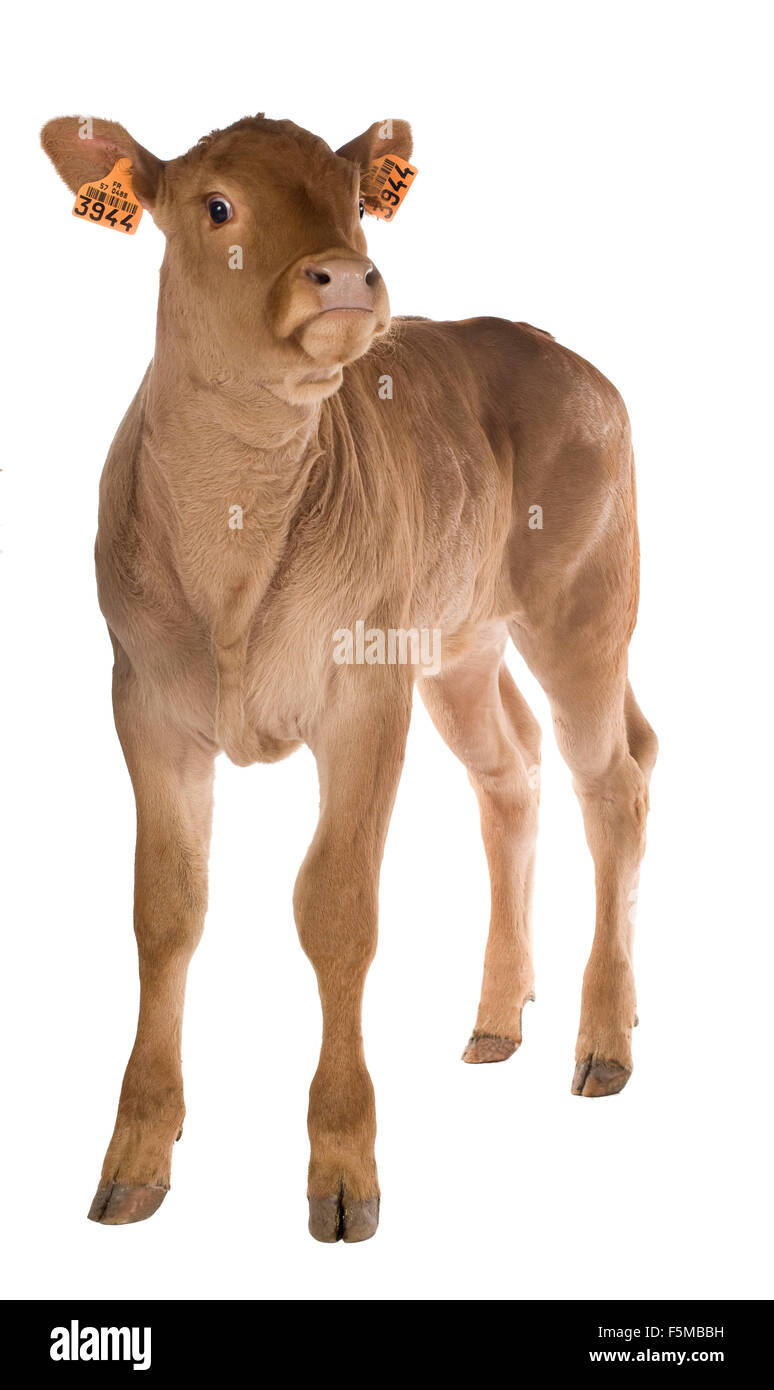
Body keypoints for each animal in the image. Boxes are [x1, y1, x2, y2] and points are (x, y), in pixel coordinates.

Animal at [41, 113, 657, 1242]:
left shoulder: (365, 695)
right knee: (513, 774)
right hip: (459, 641)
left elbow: (335, 907)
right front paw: (136, 1156)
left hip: (586, 603)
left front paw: (341, 1166)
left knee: (616, 782)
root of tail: (555, 349)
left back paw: (604, 1037)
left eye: (353, 197)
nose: (347, 275)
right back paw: (499, 1018)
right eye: (218, 205)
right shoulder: (143, 699)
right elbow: (165, 910)